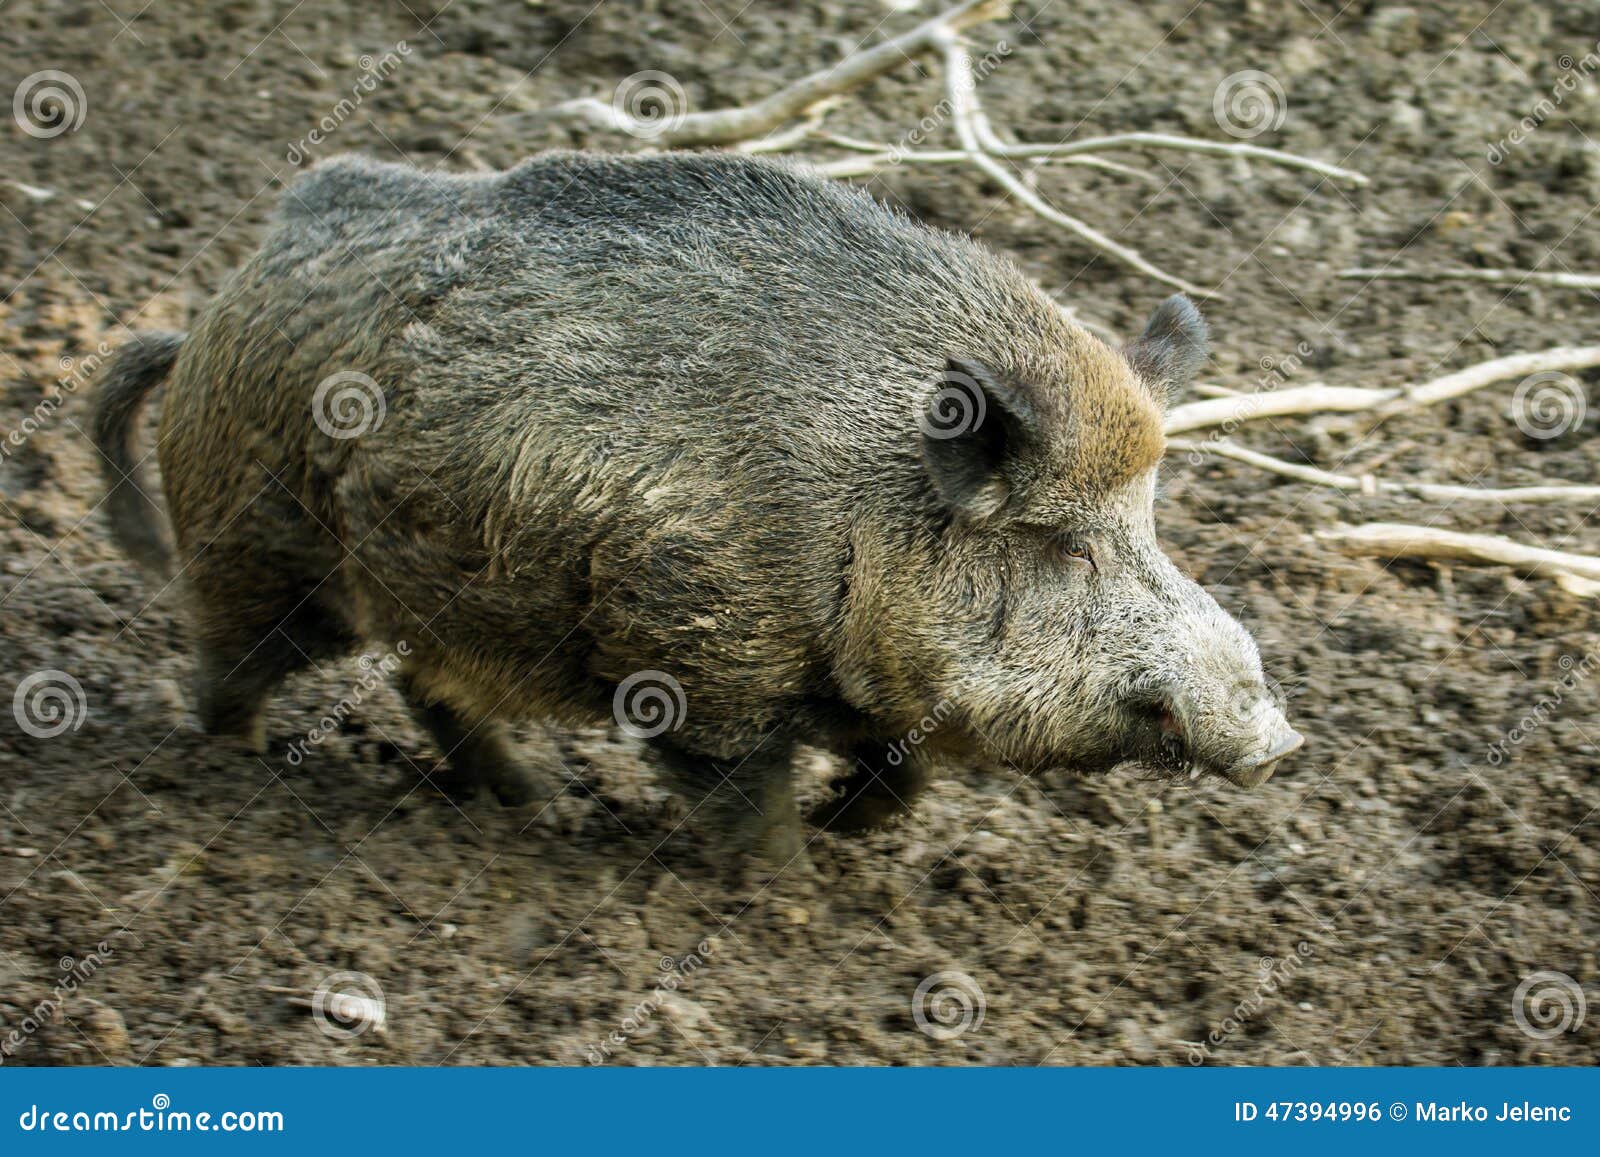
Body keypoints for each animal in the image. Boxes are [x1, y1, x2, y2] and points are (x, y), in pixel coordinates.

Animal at [92, 151, 1301, 865]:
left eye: (1149, 525)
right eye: (1060, 545)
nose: (1278, 738)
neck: (850, 510)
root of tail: (210, 311)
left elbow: (903, 774)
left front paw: (844, 834)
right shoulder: (690, 652)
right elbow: (743, 793)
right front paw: (790, 890)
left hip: (439, 589)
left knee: (422, 683)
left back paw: (524, 803)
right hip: (260, 545)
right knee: (232, 666)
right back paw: (233, 767)